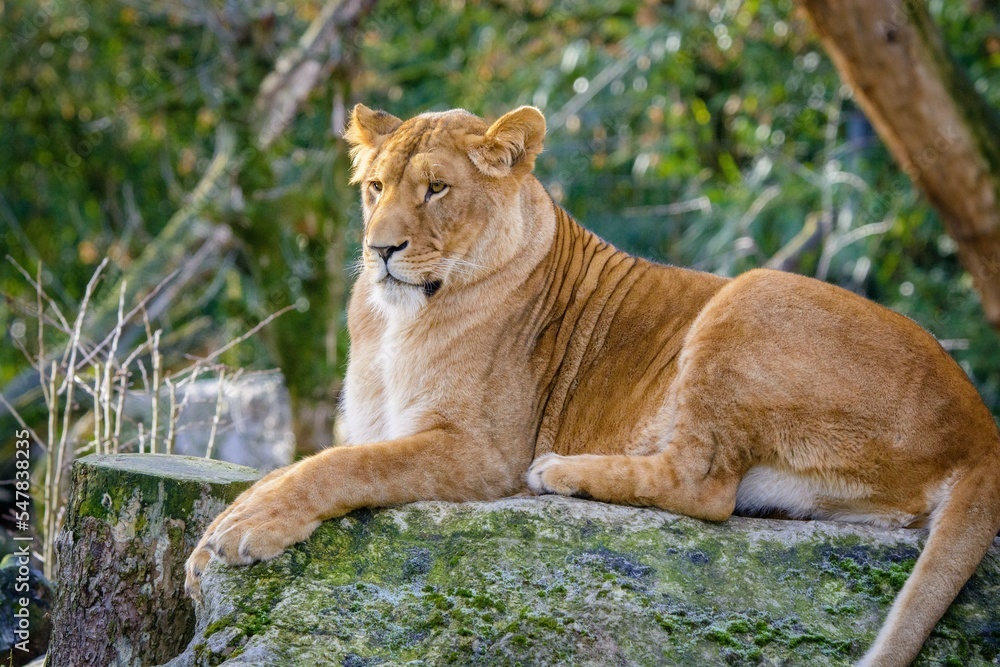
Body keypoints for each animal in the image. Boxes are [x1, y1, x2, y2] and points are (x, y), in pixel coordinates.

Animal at [186, 104, 1000, 667]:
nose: (378, 249)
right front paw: (207, 545)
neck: (390, 323)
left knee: (703, 488)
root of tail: (982, 426)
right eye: (376, 187)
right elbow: (298, 462)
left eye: (437, 189)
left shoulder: (482, 453)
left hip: (750, 292)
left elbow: (340, 466)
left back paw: (563, 472)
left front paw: (248, 530)